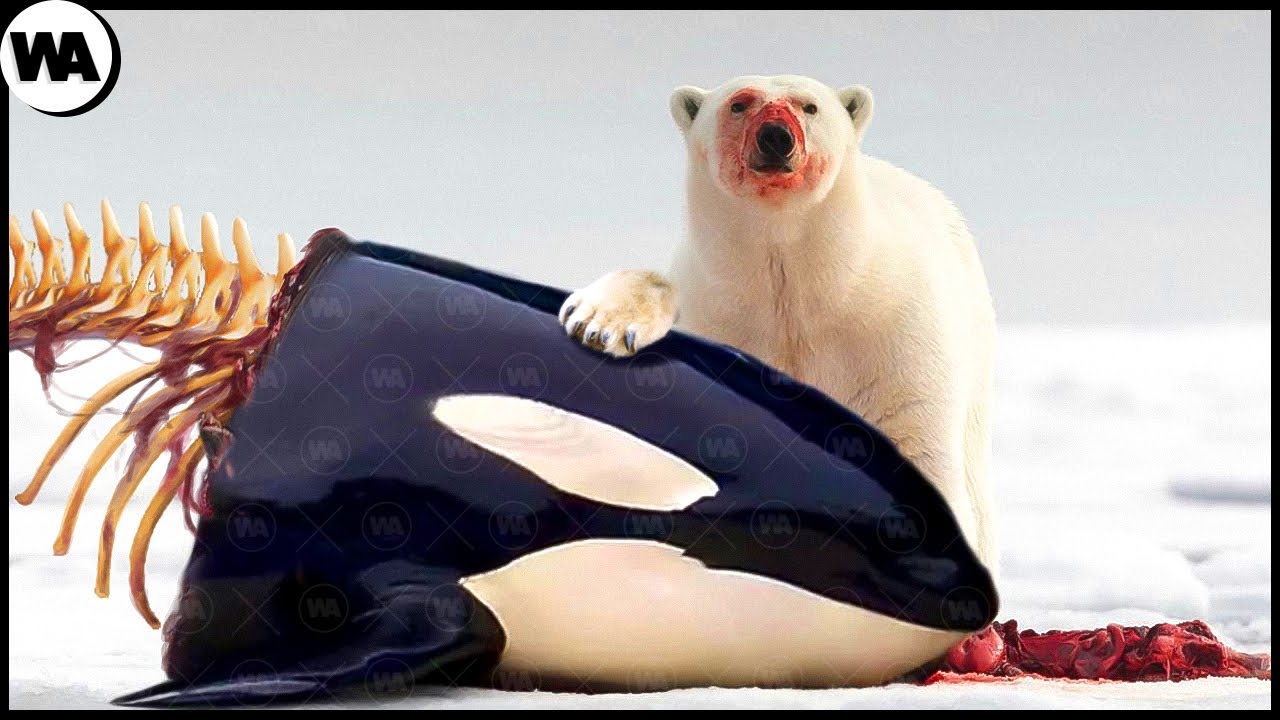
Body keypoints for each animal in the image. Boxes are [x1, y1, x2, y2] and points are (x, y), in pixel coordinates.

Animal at [559, 74, 997, 572]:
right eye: (738, 104)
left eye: (810, 107)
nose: (775, 137)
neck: (794, 286)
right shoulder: (718, 313)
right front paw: (599, 323)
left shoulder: (893, 331)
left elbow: (913, 443)